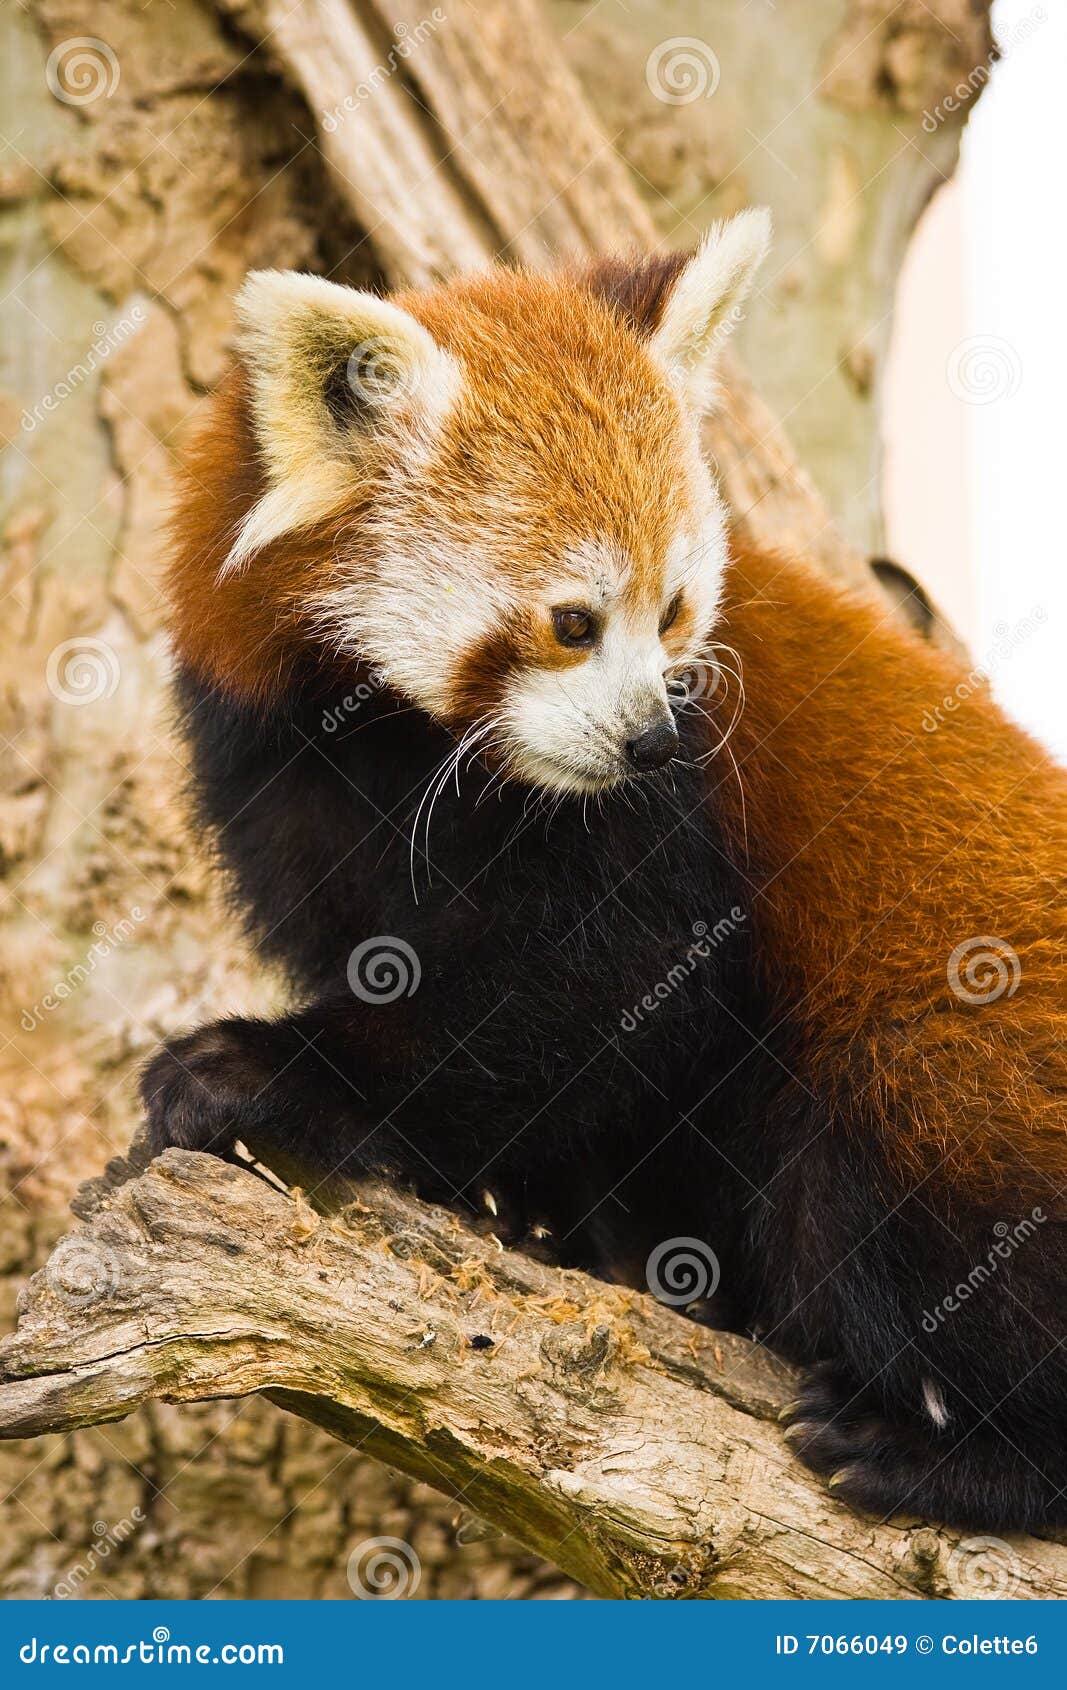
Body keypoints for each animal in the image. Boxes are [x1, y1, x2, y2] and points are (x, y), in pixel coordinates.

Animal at [144, 209, 1067, 1531]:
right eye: (572, 621)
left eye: (673, 608)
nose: (646, 736)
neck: (402, 755)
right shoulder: (281, 776)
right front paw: (524, 1203)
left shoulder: (673, 828)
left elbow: (606, 994)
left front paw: (270, 1073)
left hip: (961, 1082)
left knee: (890, 1156)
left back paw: (947, 1454)